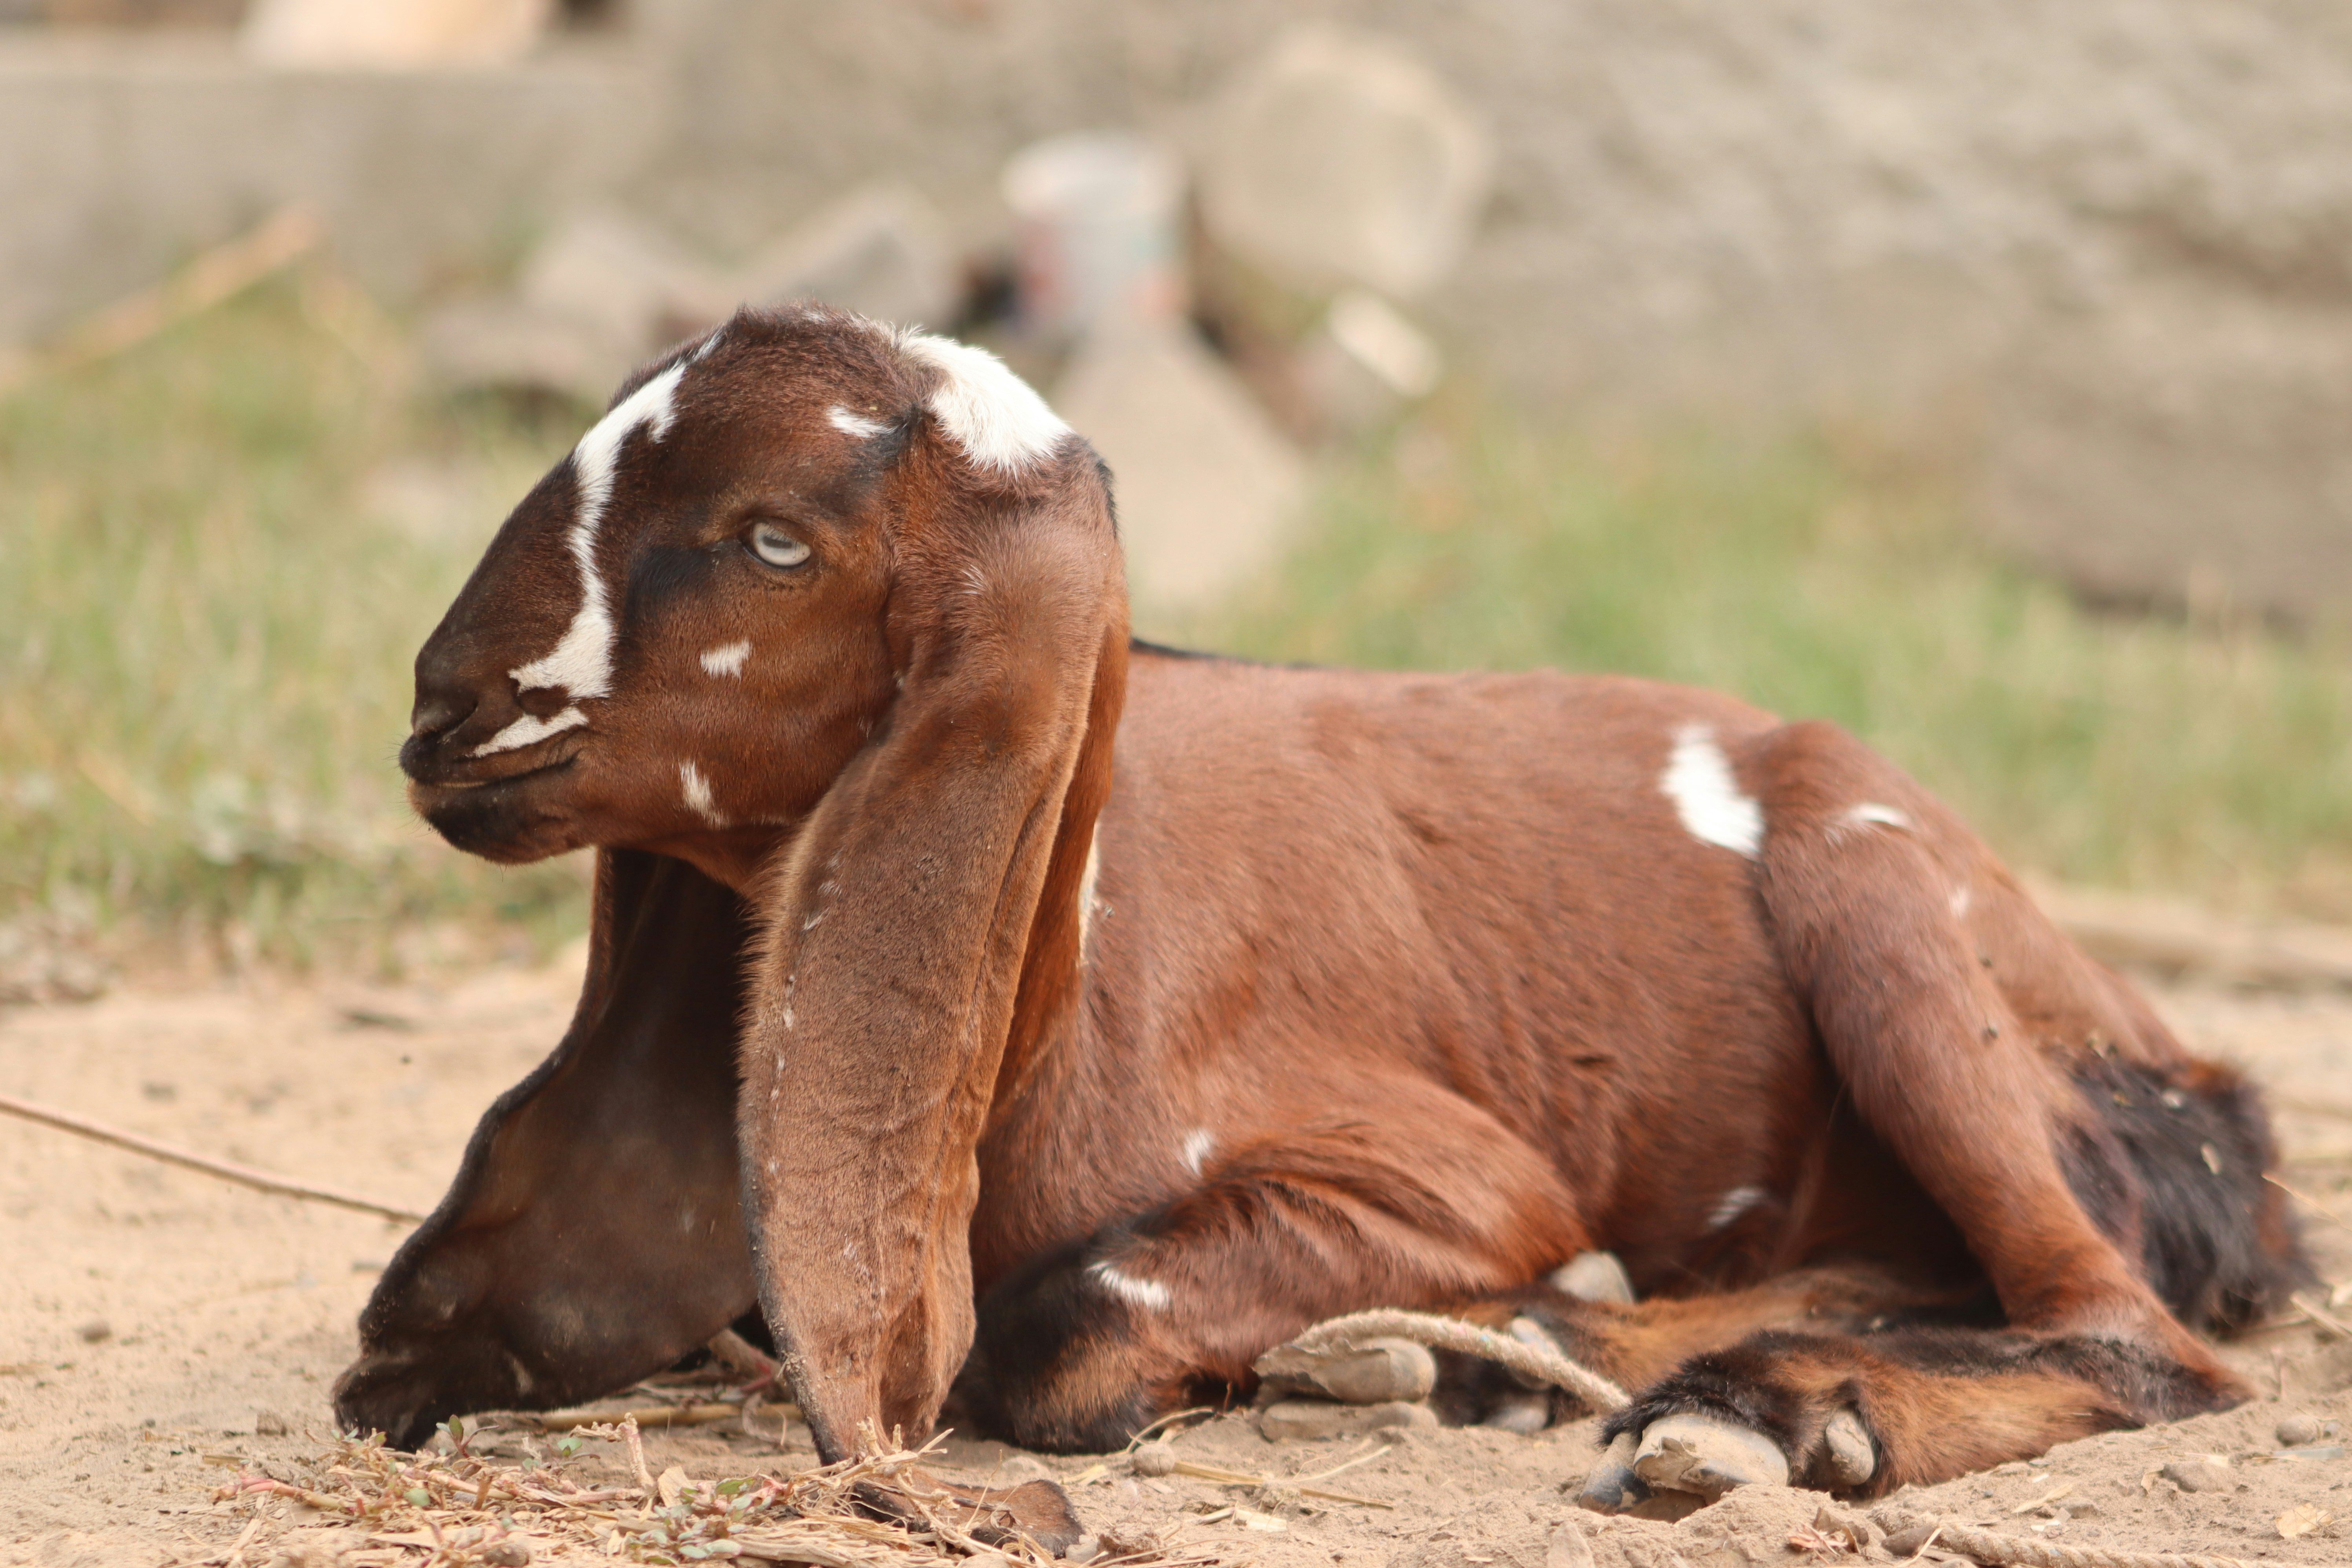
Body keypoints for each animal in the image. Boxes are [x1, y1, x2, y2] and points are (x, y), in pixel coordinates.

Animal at [335, 307, 2304, 1519]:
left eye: (771, 540)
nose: (442, 712)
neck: (1058, 1000)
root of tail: (2201, 1088)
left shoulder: (1452, 1172)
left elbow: (1057, 1322)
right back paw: (1557, 1357)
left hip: (1873, 893)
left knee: (2134, 1332)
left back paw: (1753, 1407)